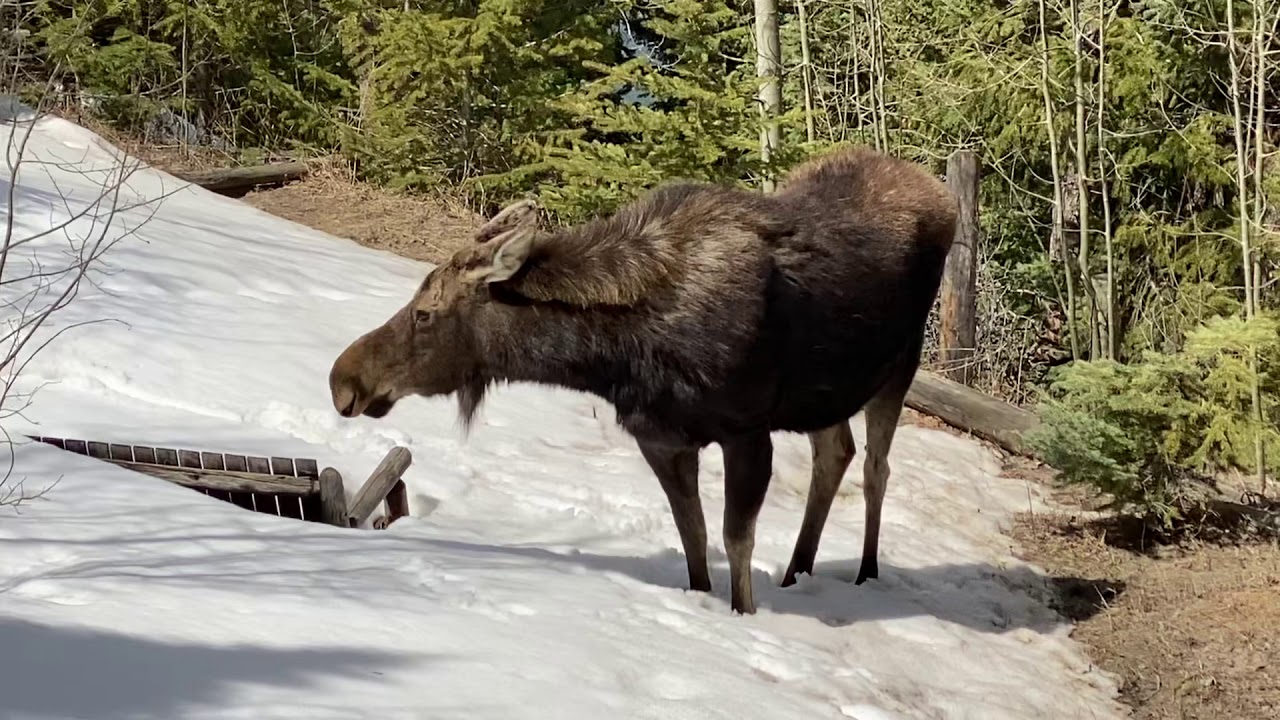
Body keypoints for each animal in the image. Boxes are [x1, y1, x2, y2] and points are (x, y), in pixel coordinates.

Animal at [328, 146, 958, 615]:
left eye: (424, 314)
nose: (342, 379)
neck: (618, 358)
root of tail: (944, 195)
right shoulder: (662, 439)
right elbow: (693, 538)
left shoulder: (747, 432)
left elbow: (735, 539)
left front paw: (745, 614)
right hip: (823, 395)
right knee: (837, 450)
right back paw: (798, 571)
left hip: (899, 366)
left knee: (876, 467)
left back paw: (865, 571)